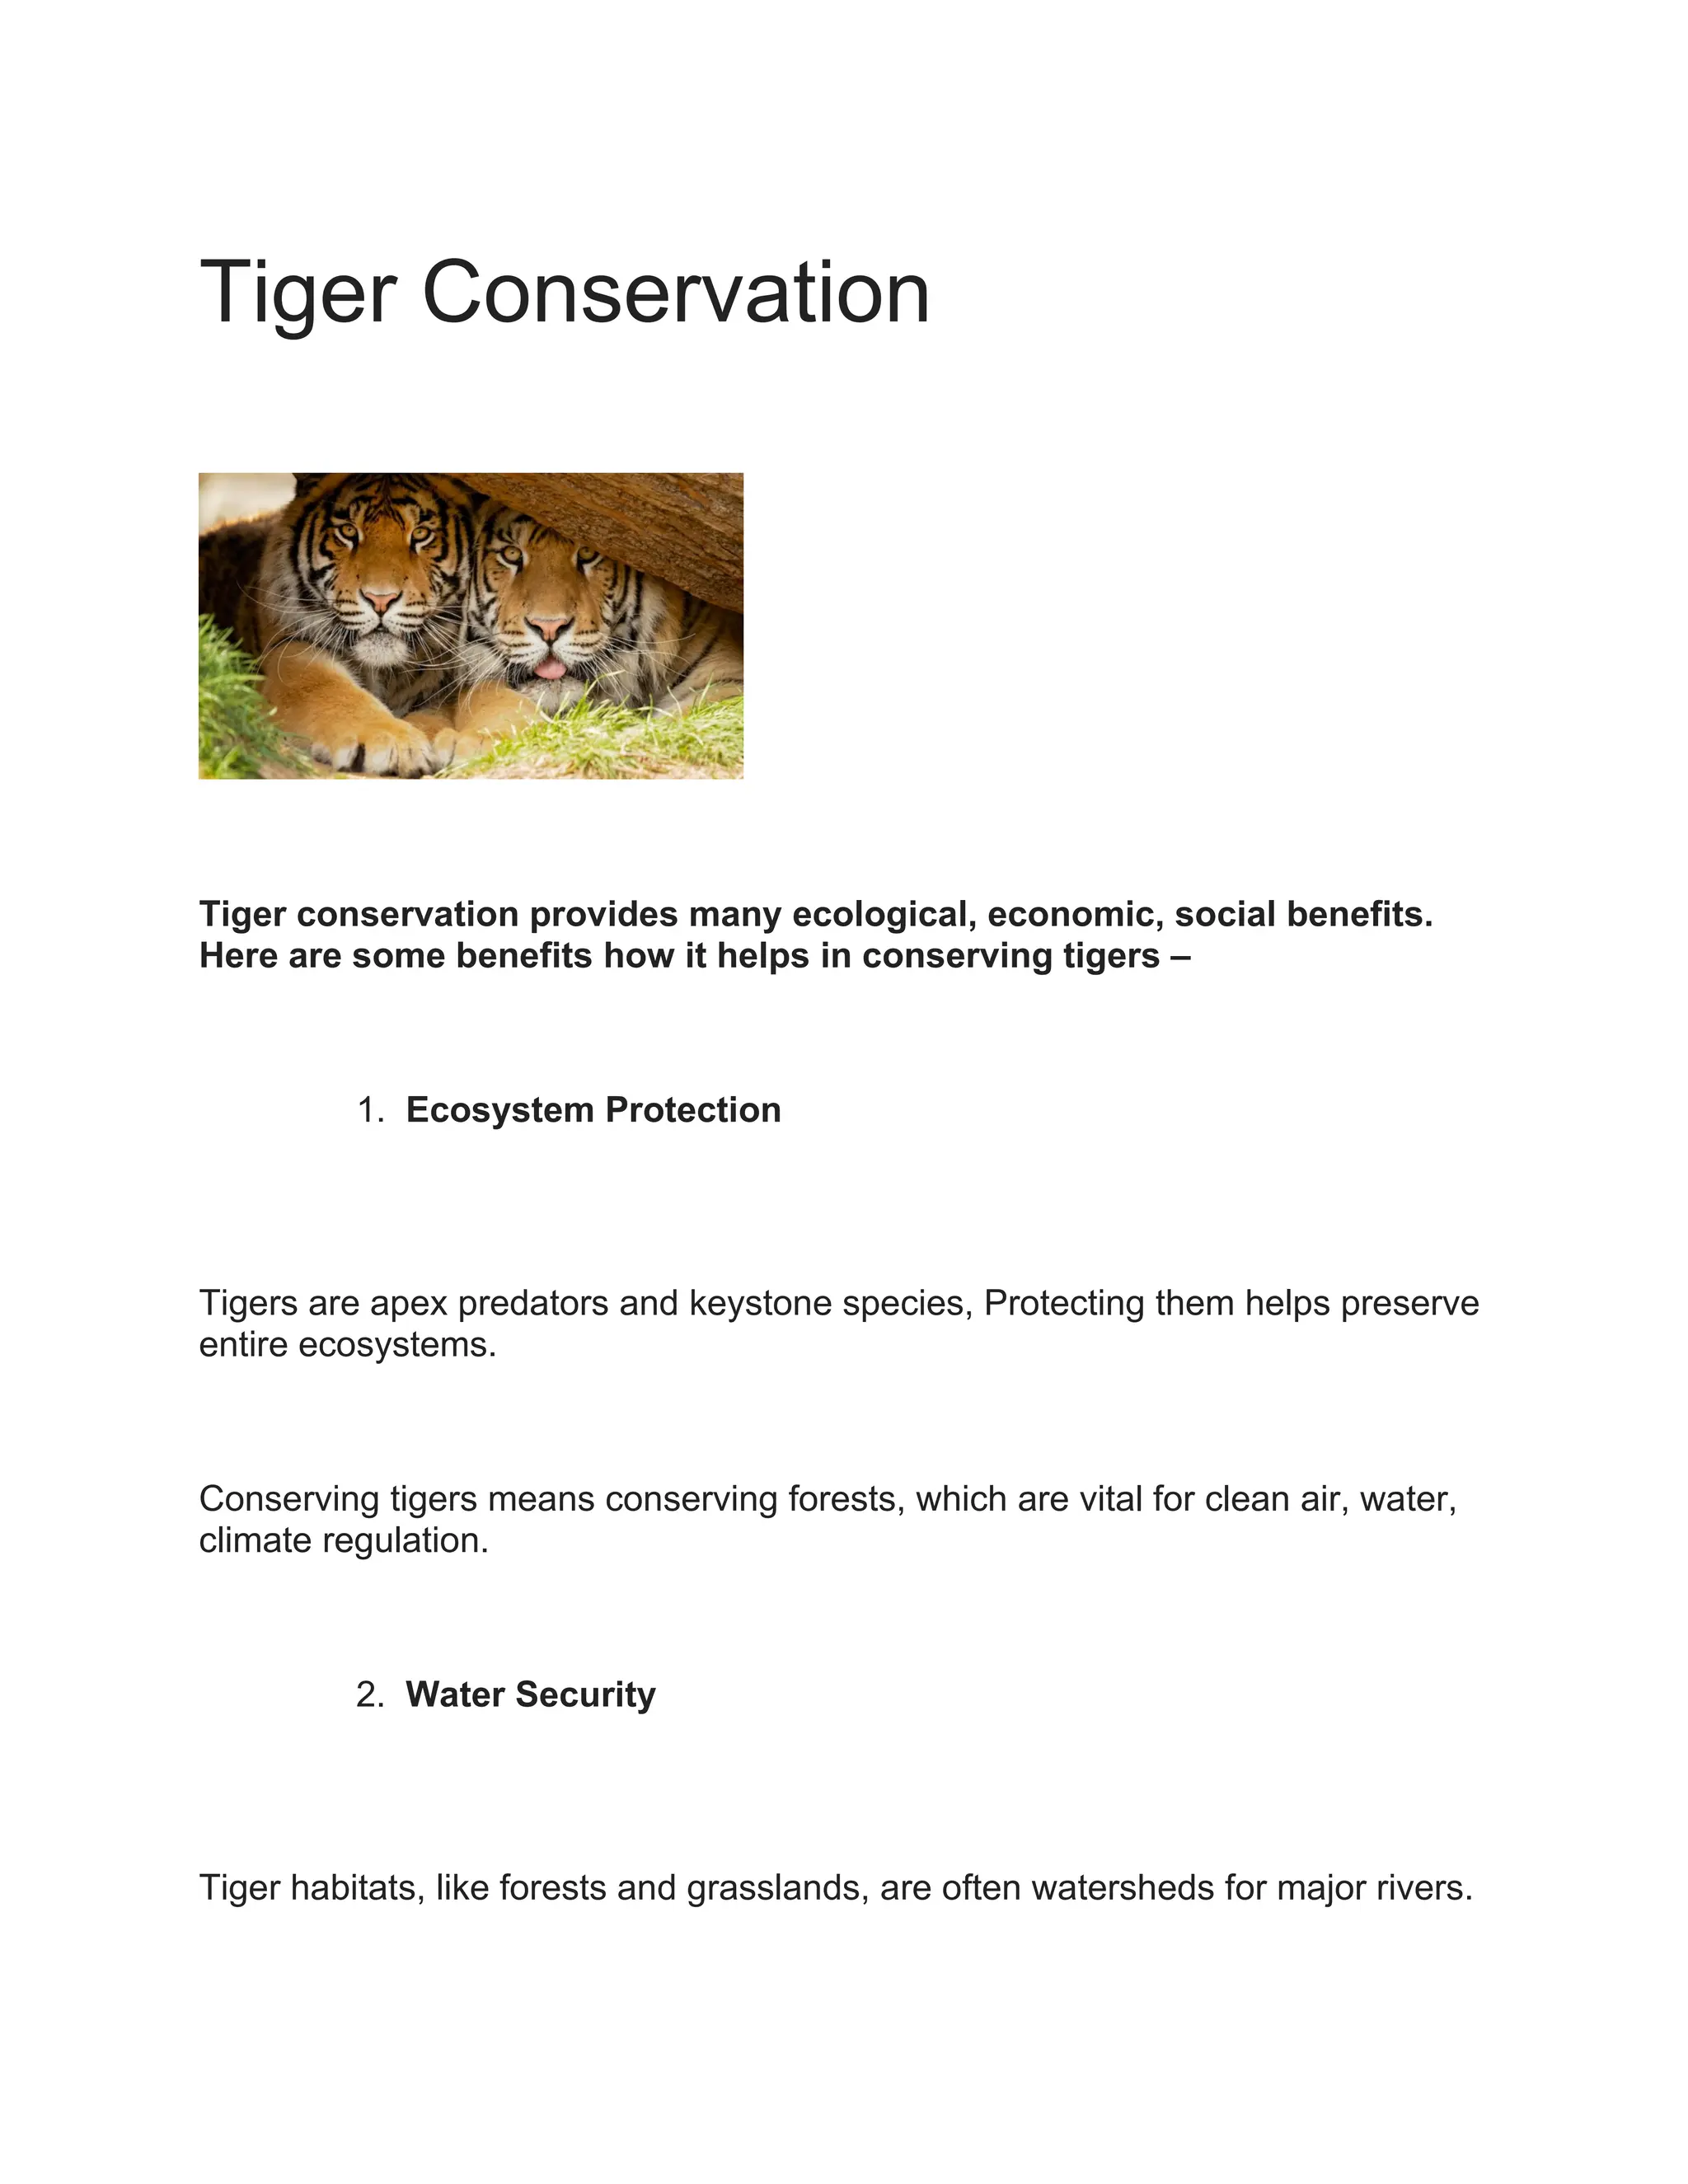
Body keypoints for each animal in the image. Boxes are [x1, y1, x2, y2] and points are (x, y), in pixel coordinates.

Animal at [198, 473, 481, 775]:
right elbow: (330, 690)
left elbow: (436, 713)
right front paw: (393, 742)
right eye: (348, 532)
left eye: (420, 534)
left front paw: (444, 740)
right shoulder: (290, 652)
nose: (381, 600)